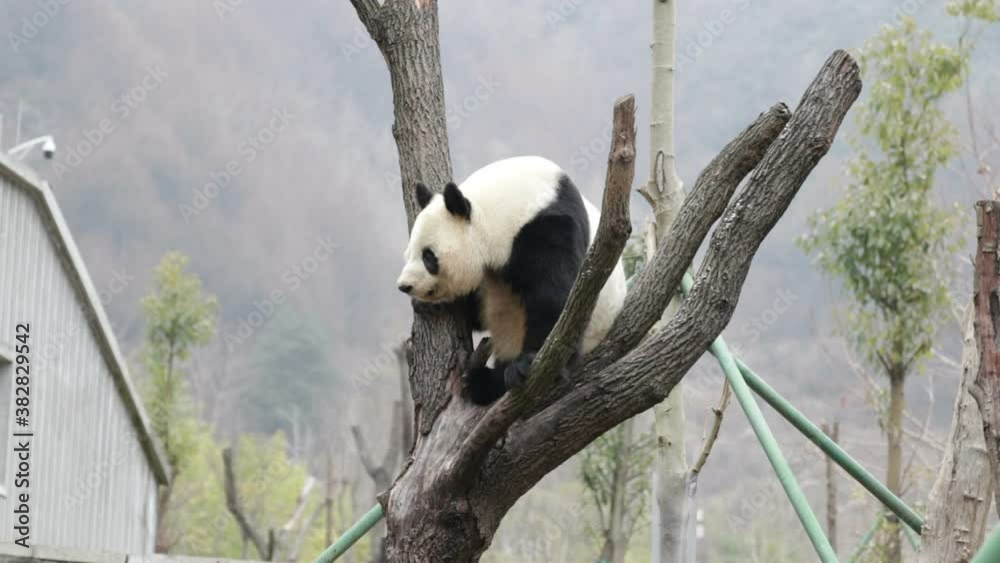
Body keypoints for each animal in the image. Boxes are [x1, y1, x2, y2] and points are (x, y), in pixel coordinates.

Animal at [396, 156, 627, 405]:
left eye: (428, 256)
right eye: (409, 253)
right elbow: (477, 313)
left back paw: (482, 382)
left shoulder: (546, 226)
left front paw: (527, 363)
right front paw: (433, 305)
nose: (405, 286)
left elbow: (559, 301)